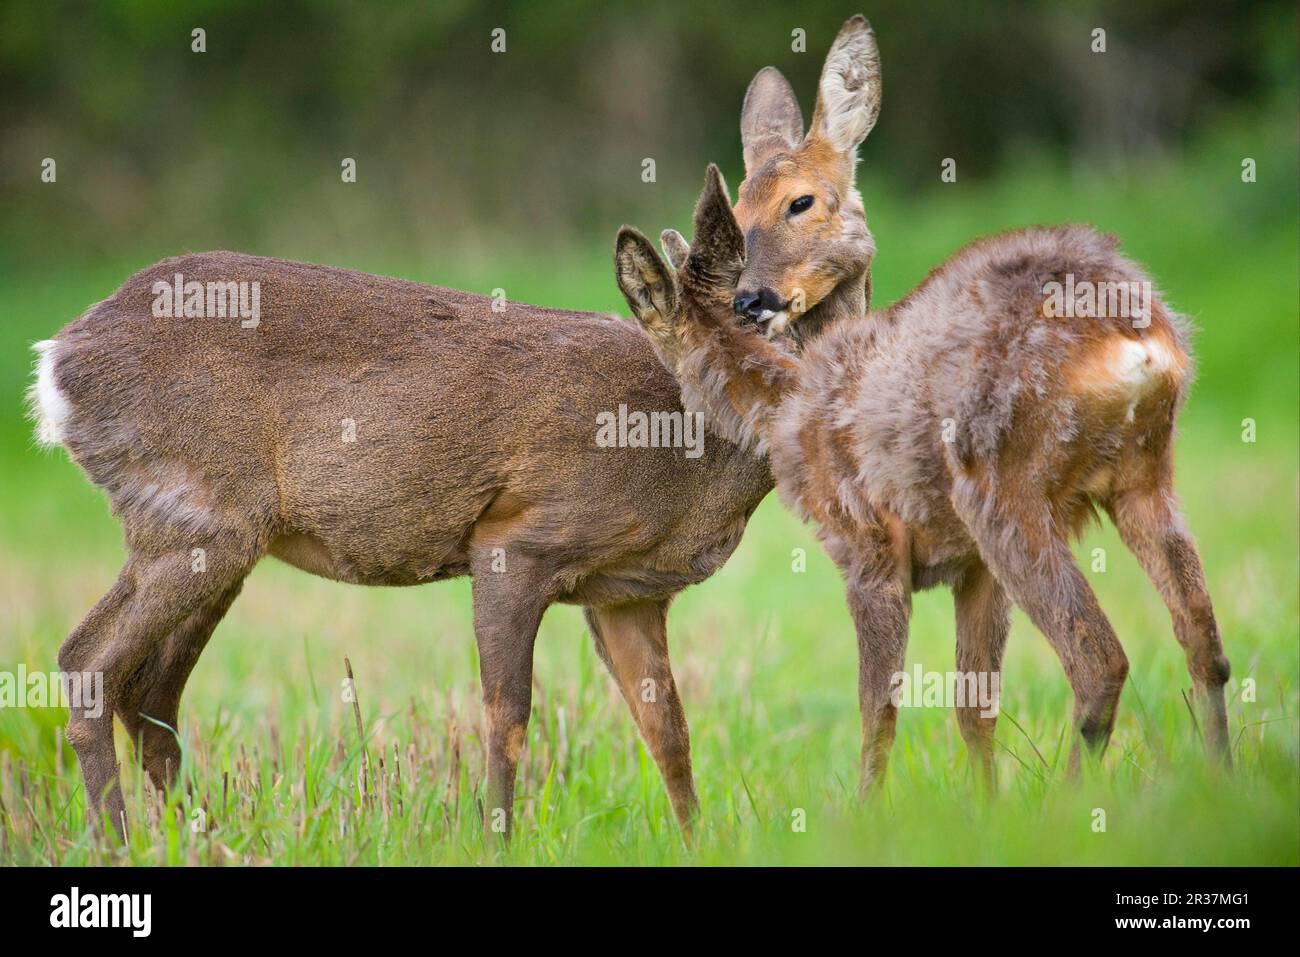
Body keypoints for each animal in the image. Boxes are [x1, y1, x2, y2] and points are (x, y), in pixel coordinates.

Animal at [615, 161, 1232, 793]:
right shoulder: (975, 568)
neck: (782, 406)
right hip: (1146, 476)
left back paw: (1069, 800)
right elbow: (974, 708)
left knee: (1100, 661)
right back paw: (1220, 782)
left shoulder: (866, 543)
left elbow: (878, 711)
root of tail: (1134, 338)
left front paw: (867, 807)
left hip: (1003, 490)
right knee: (1204, 642)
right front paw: (986, 805)